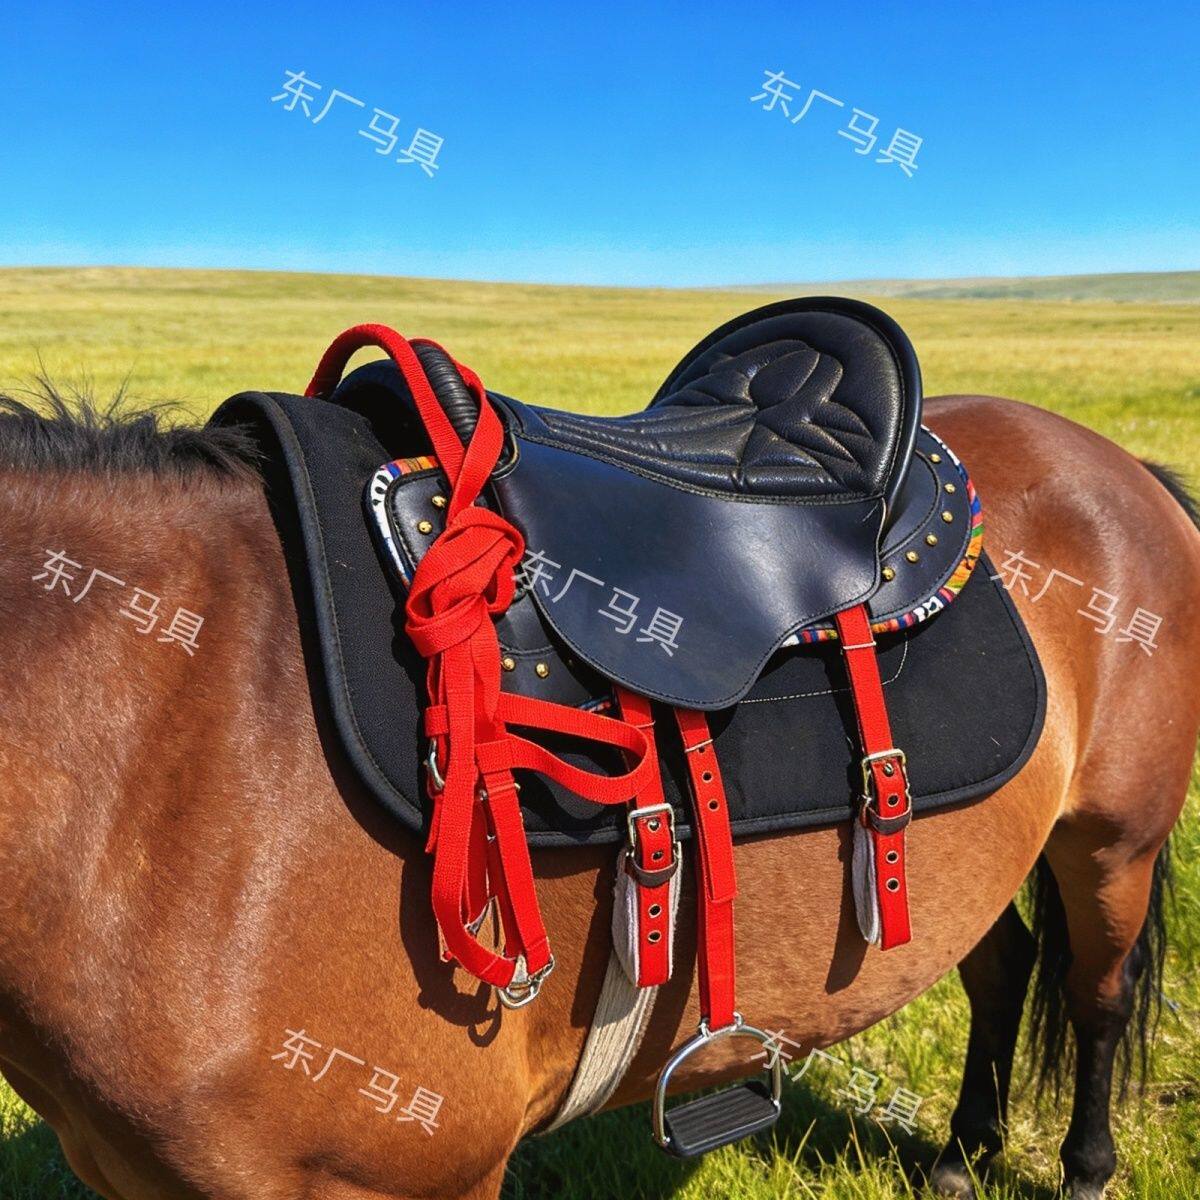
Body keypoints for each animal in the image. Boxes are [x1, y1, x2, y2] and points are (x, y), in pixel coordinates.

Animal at [0, 381, 1195, 1200]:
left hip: (1111, 844)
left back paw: (1085, 1168)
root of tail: (1116, 461)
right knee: (998, 968)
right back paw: (958, 1156)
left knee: (1096, 994)